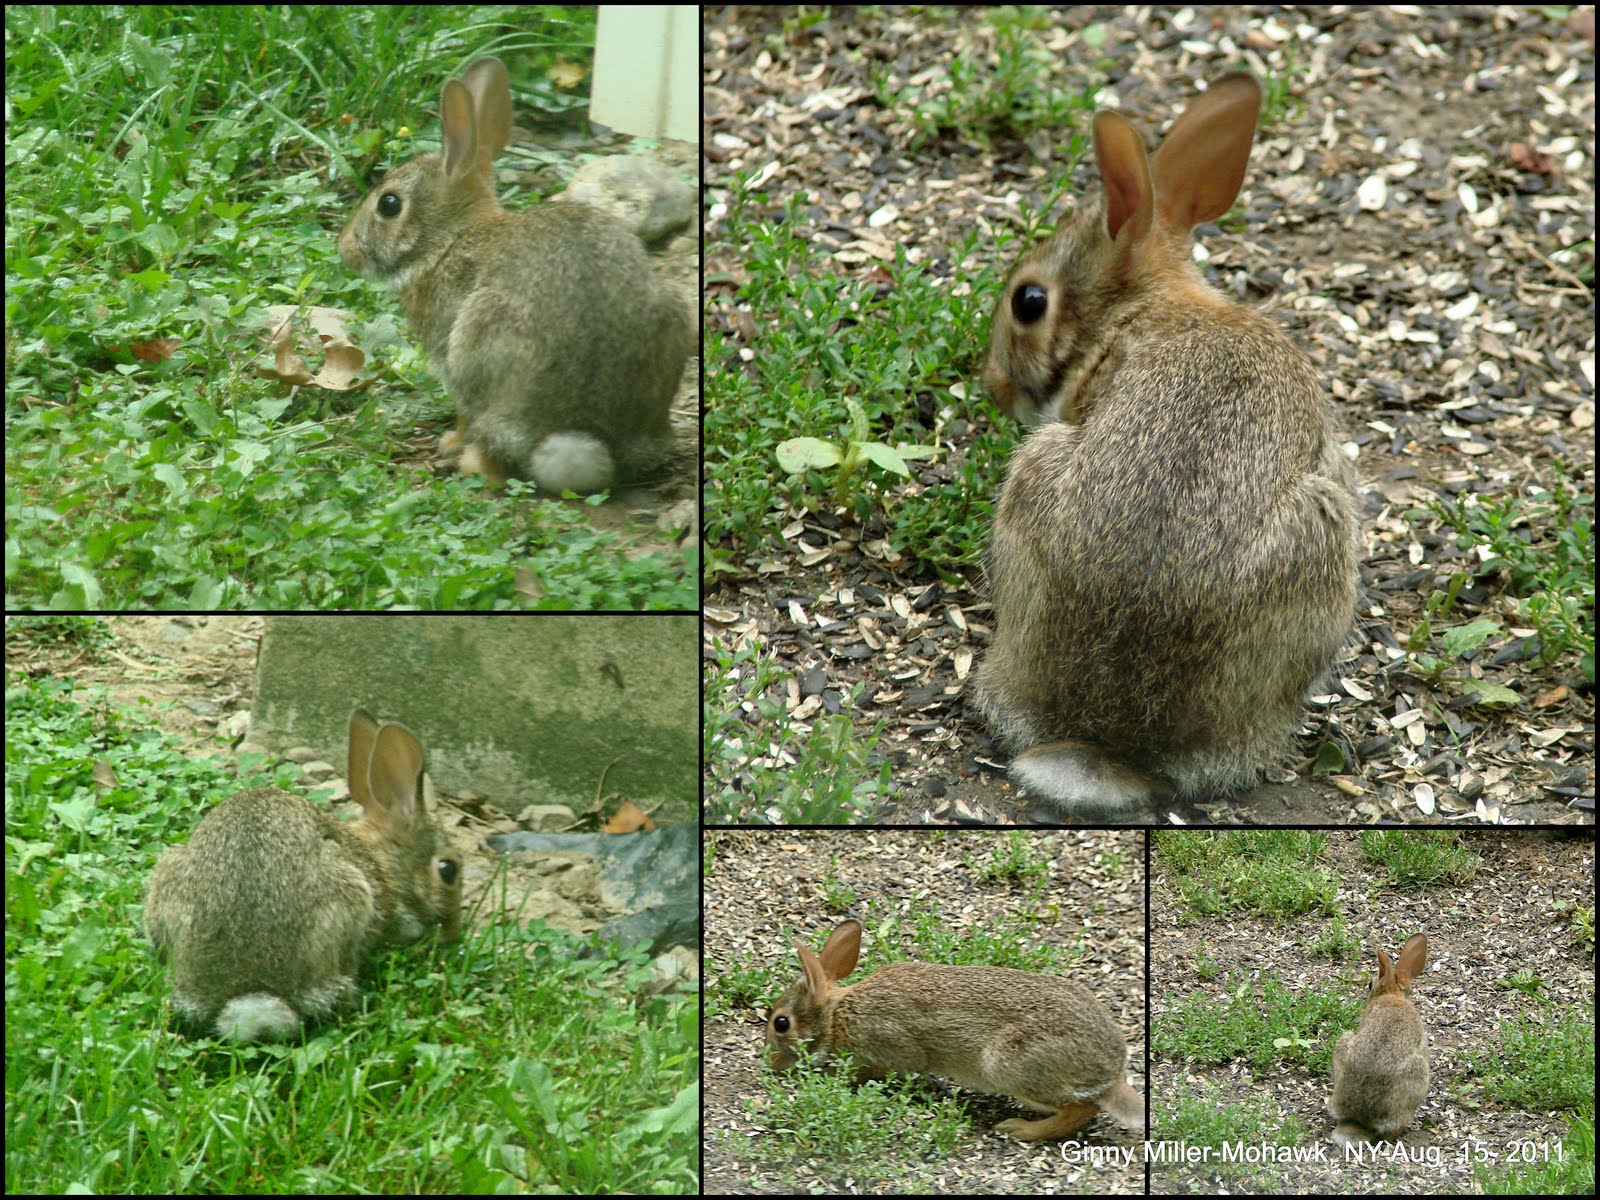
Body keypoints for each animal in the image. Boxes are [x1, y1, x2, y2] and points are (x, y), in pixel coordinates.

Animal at [338, 56, 693, 493]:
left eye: (388, 205)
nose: (346, 250)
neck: (449, 240)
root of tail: (590, 437)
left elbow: (462, 411)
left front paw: (450, 440)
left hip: (483, 339)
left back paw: (469, 461)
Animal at [764, 918, 1144, 1142]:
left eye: (781, 1023)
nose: (769, 1065)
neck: (836, 1014)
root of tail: (1109, 1074)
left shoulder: (884, 1044)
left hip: (1011, 1065)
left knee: (1081, 1111)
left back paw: (1018, 1129)